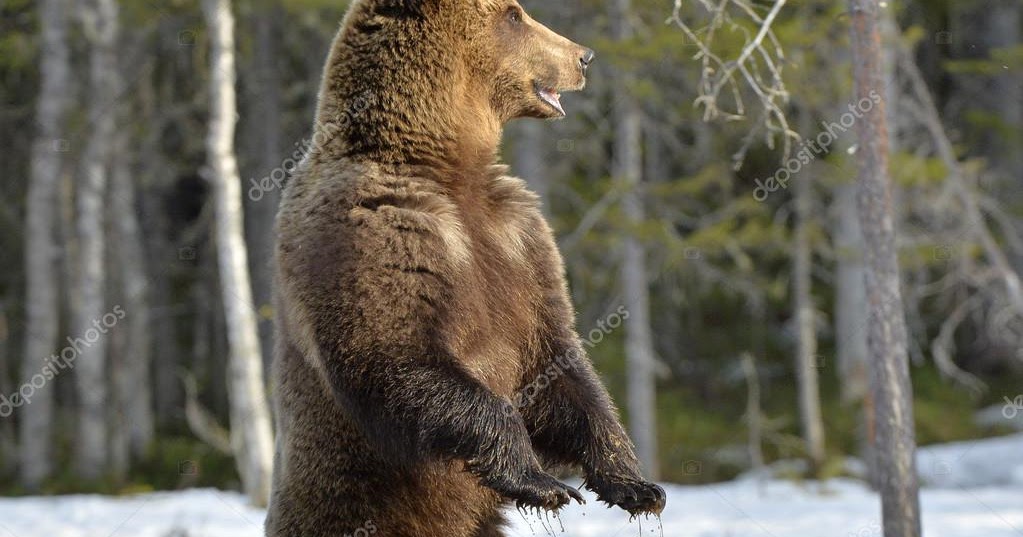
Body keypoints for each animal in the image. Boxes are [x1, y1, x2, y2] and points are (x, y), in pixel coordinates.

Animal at [266, 0, 666, 536]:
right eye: (516, 15)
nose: (584, 56)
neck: (445, 164)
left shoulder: (518, 241)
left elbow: (557, 358)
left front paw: (635, 484)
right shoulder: (375, 228)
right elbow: (394, 351)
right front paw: (544, 483)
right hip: (346, 500)